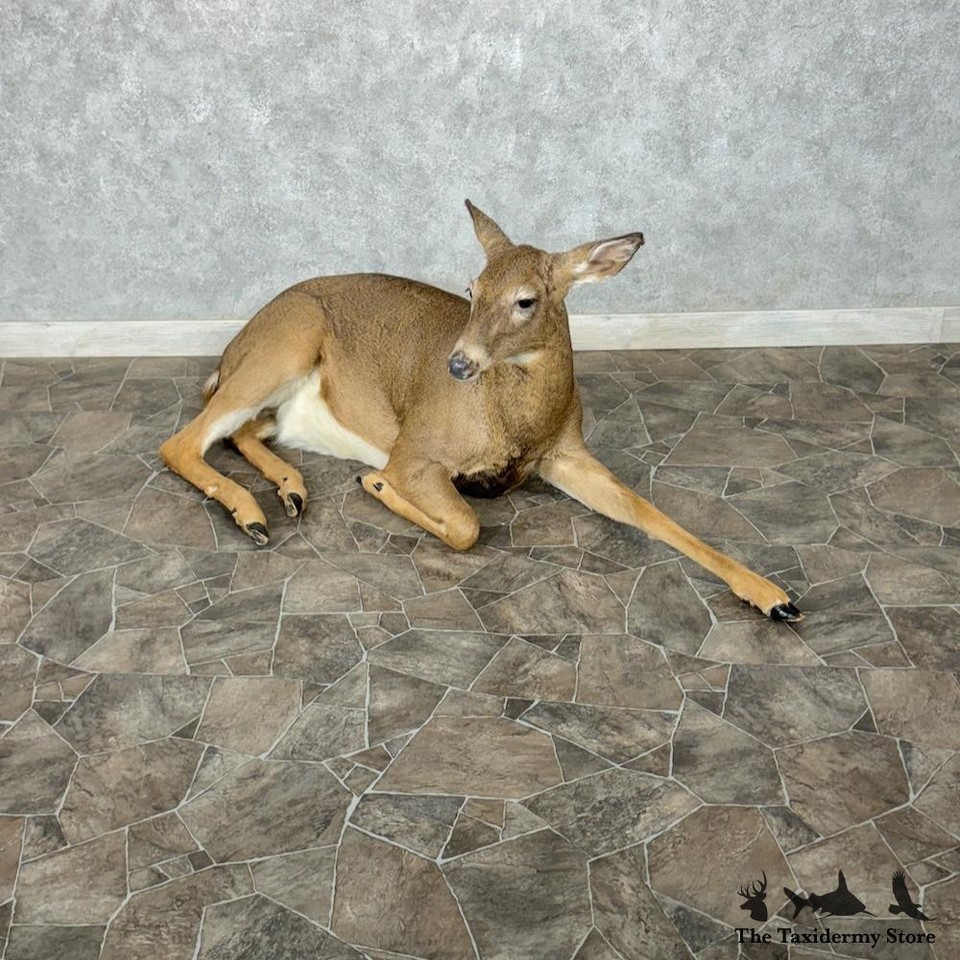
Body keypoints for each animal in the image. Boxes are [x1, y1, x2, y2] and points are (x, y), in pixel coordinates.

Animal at [159, 202, 802, 622]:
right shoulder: (414, 451)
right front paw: (377, 486)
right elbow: (466, 526)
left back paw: (290, 491)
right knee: (181, 441)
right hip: (284, 345)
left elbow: (648, 512)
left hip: (273, 393)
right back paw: (253, 514)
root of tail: (233, 346)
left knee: (236, 433)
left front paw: (771, 593)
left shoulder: (567, 455)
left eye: (527, 300)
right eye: (470, 289)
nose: (458, 364)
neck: (515, 423)